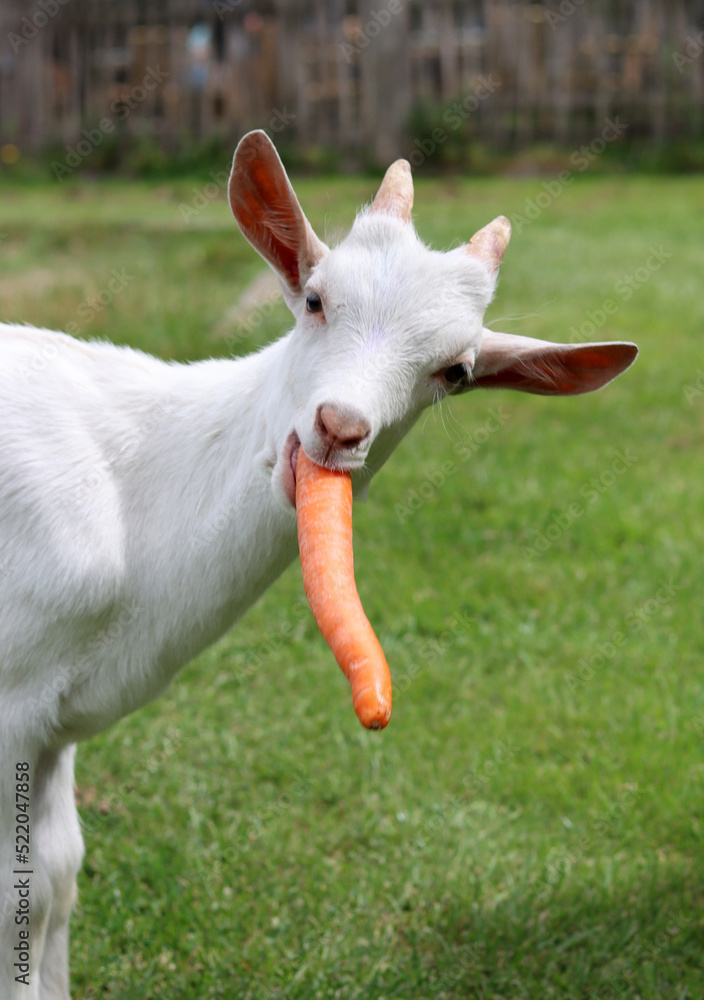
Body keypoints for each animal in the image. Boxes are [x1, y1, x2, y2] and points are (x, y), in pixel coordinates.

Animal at [0, 130, 637, 999]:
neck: (137, 496)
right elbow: (18, 894)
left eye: (456, 371)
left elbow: (56, 875)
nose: (339, 426)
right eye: (314, 299)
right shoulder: (10, 700)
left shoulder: (54, 720)